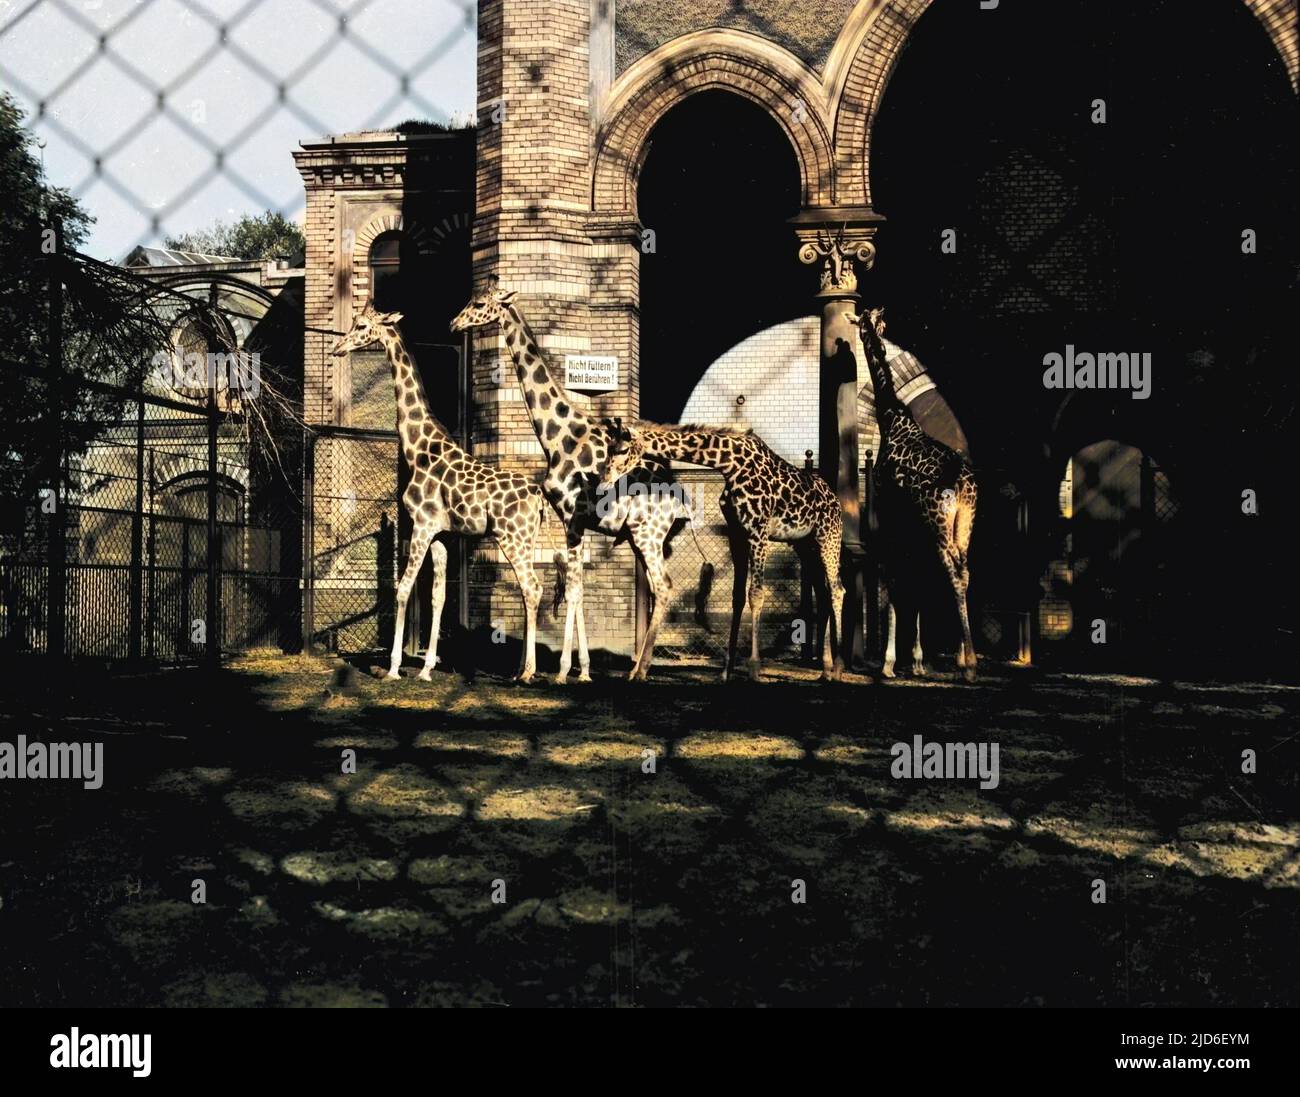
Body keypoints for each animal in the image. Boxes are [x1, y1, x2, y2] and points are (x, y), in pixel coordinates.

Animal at [331, 303, 547, 681]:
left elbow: (403, 589)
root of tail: (537, 497)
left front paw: (393, 667)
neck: (418, 447)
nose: (337, 348)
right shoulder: (442, 534)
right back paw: (519, 668)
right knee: (528, 590)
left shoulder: (422, 525)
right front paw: (427, 667)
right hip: (527, 539)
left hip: (512, 538)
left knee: (532, 587)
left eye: (360, 325)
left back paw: (527, 673)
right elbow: (438, 597)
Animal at [450, 281, 688, 682]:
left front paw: (562, 671)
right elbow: (577, 586)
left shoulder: (572, 517)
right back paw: (635, 666)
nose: (454, 323)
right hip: (640, 537)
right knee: (658, 589)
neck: (559, 436)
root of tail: (680, 499)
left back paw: (639, 671)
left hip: (648, 534)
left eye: (480, 303)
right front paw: (582, 669)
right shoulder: (575, 522)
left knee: (665, 587)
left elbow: (574, 589)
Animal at [605, 423, 845, 682]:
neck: (730, 465)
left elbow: (755, 594)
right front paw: (726, 670)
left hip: (829, 537)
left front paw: (754, 669)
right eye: (609, 448)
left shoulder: (758, 532)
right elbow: (737, 597)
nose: (605, 479)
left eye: (622, 449)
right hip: (805, 545)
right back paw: (825, 669)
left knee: (837, 590)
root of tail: (835, 501)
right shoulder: (736, 533)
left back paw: (839, 668)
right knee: (823, 594)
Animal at [850, 306, 978, 681]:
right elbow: (916, 581)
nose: (857, 336)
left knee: (952, 571)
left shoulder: (891, 517)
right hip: (964, 522)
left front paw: (890, 663)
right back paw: (963, 657)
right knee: (964, 570)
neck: (890, 415)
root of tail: (962, 485)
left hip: (938, 522)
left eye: (862, 322)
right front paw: (918, 661)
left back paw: (970, 665)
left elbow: (896, 582)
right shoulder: (911, 525)